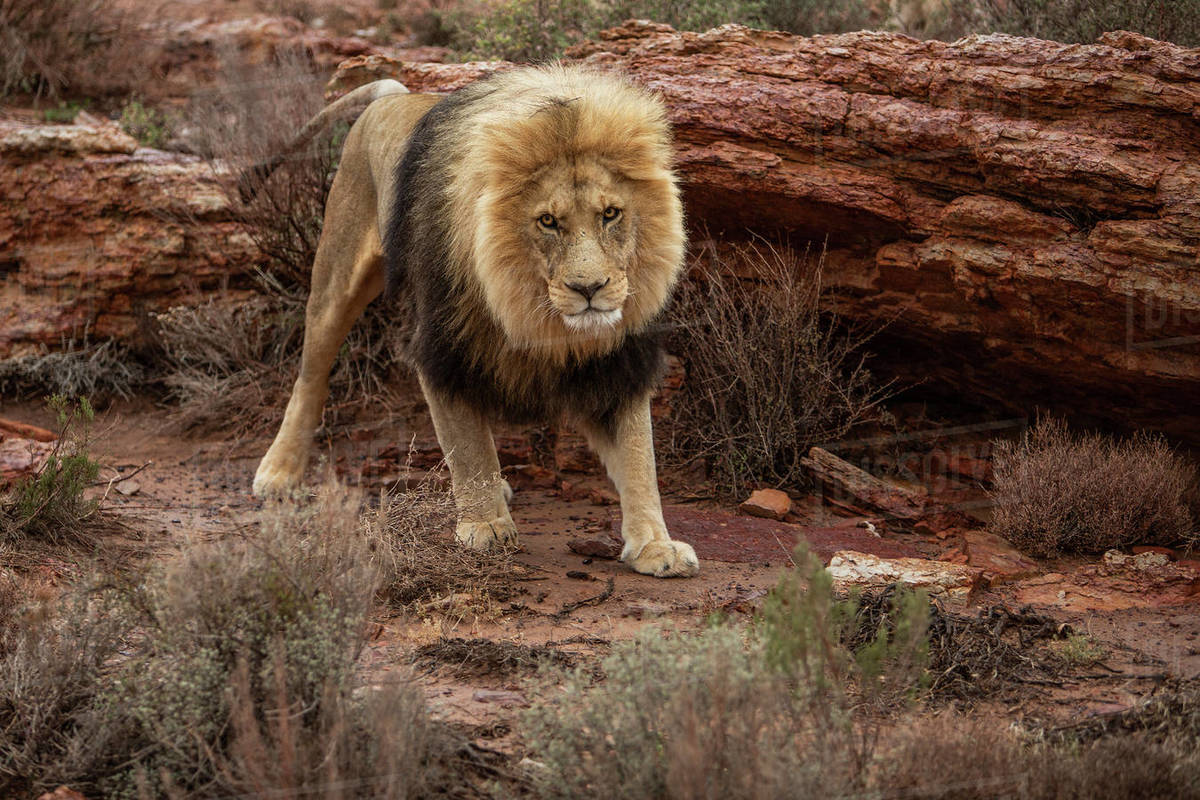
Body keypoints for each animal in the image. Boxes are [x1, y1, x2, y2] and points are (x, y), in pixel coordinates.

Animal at [252, 64, 699, 578]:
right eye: (548, 222)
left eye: (611, 214)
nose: (589, 289)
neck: (528, 309)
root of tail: (393, 97)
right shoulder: (444, 350)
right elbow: (468, 441)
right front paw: (485, 524)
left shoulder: (618, 361)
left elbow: (638, 454)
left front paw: (656, 545)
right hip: (336, 273)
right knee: (311, 374)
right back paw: (279, 470)